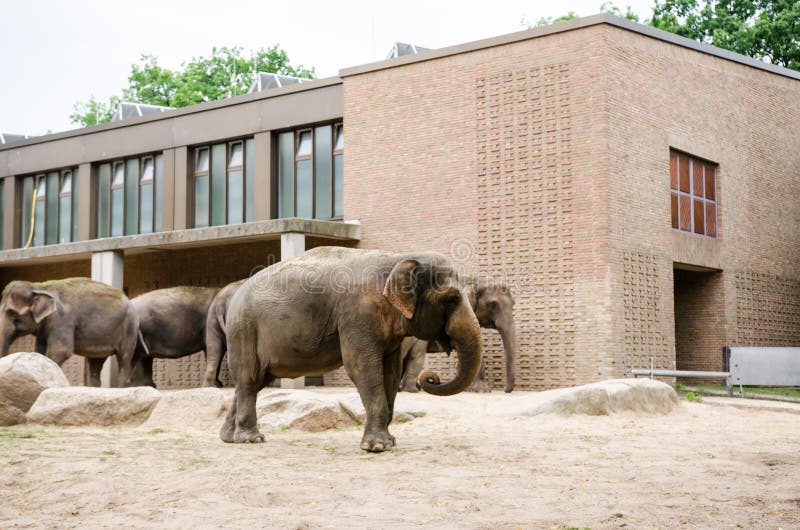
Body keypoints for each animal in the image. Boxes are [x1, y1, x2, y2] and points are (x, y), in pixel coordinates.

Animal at [0, 277, 138, 387]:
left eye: (12, 313)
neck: (39, 287)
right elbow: (39, 350)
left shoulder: (62, 319)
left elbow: (61, 351)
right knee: (95, 363)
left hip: (130, 328)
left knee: (124, 357)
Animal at [220, 246, 484, 452]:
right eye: (451, 299)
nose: (431, 378)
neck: (399, 257)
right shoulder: (357, 313)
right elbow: (362, 366)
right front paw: (376, 447)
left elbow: (390, 371)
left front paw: (389, 442)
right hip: (244, 330)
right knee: (249, 379)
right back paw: (251, 440)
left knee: (252, 382)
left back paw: (229, 438)